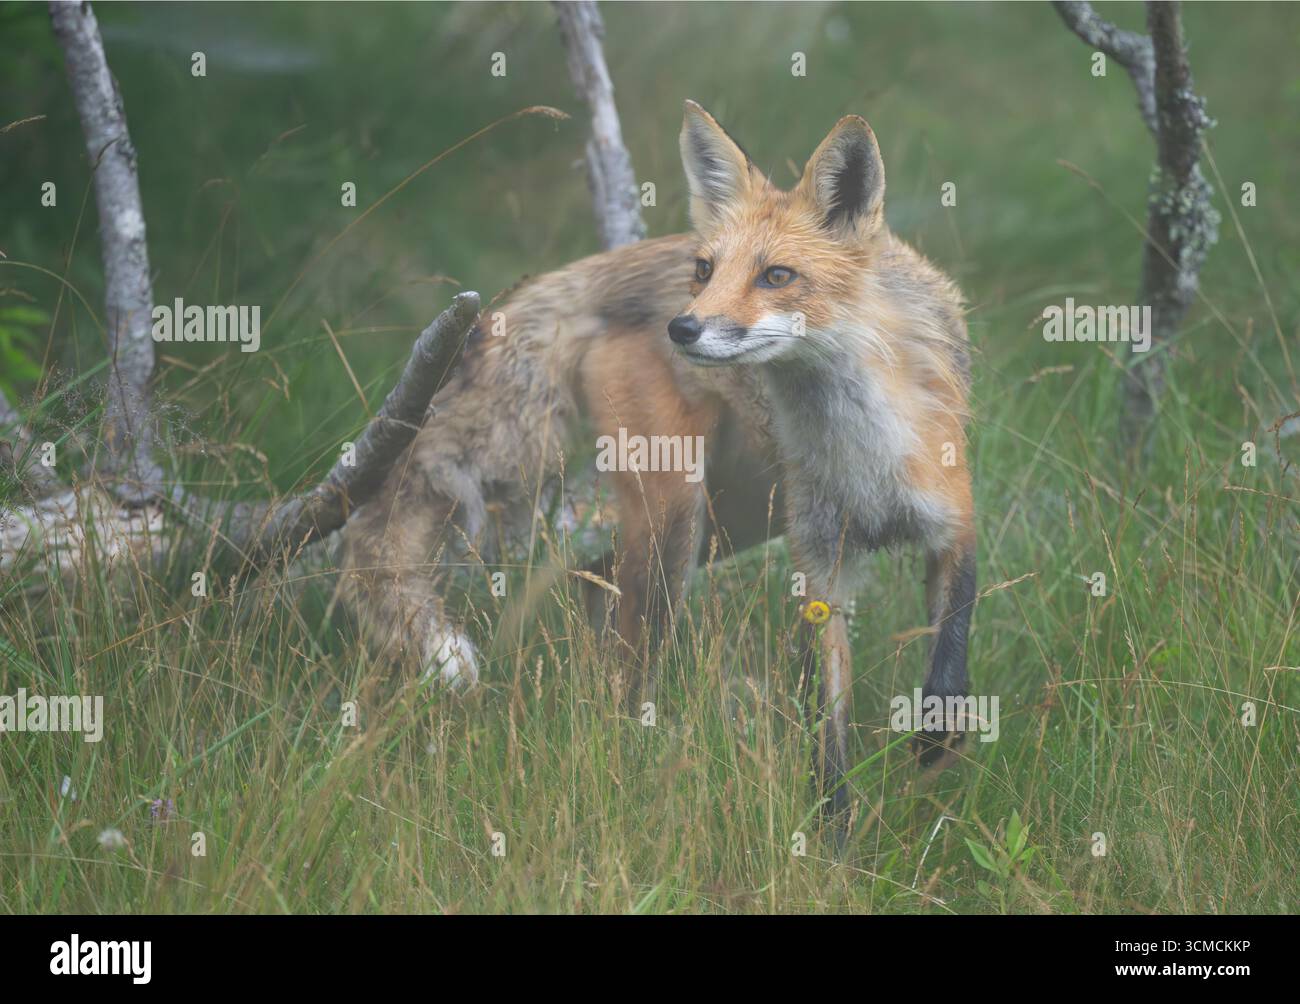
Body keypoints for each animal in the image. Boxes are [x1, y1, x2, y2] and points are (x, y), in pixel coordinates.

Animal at [339, 100, 975, 816]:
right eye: (706, 270)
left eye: (777, 276)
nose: (683, 327)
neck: (861, 450)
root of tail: (608, 267)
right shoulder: (820, 571)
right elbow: (828, 738)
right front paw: (834, 833)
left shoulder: (954, 517)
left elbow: (954, 643)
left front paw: (938, 735)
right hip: (679, 516)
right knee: (622, 658)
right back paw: (632, 757)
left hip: (726, 520)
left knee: (594, 581)